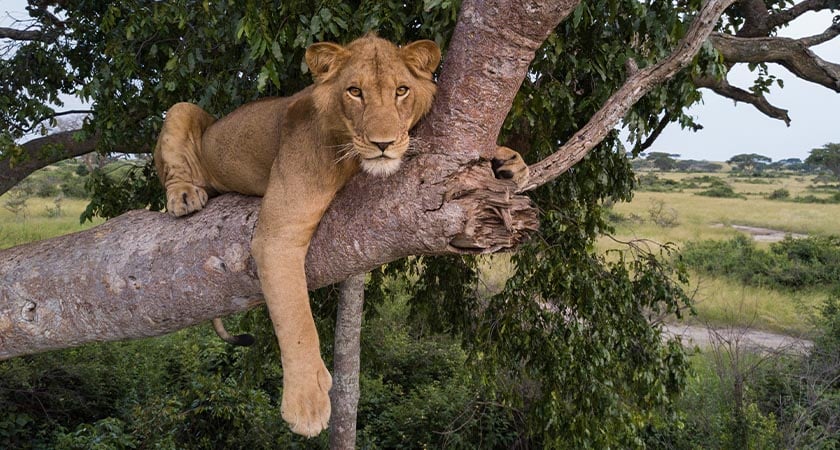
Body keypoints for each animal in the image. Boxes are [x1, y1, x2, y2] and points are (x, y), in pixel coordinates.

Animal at [153, 34, 528, 437]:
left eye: (401, 91)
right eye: (354, 92)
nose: (383, 144)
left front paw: (508, 160)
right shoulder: (277, 235)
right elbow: (296, 318)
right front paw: (306, 402)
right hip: (182, 110)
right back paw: (184, 196)